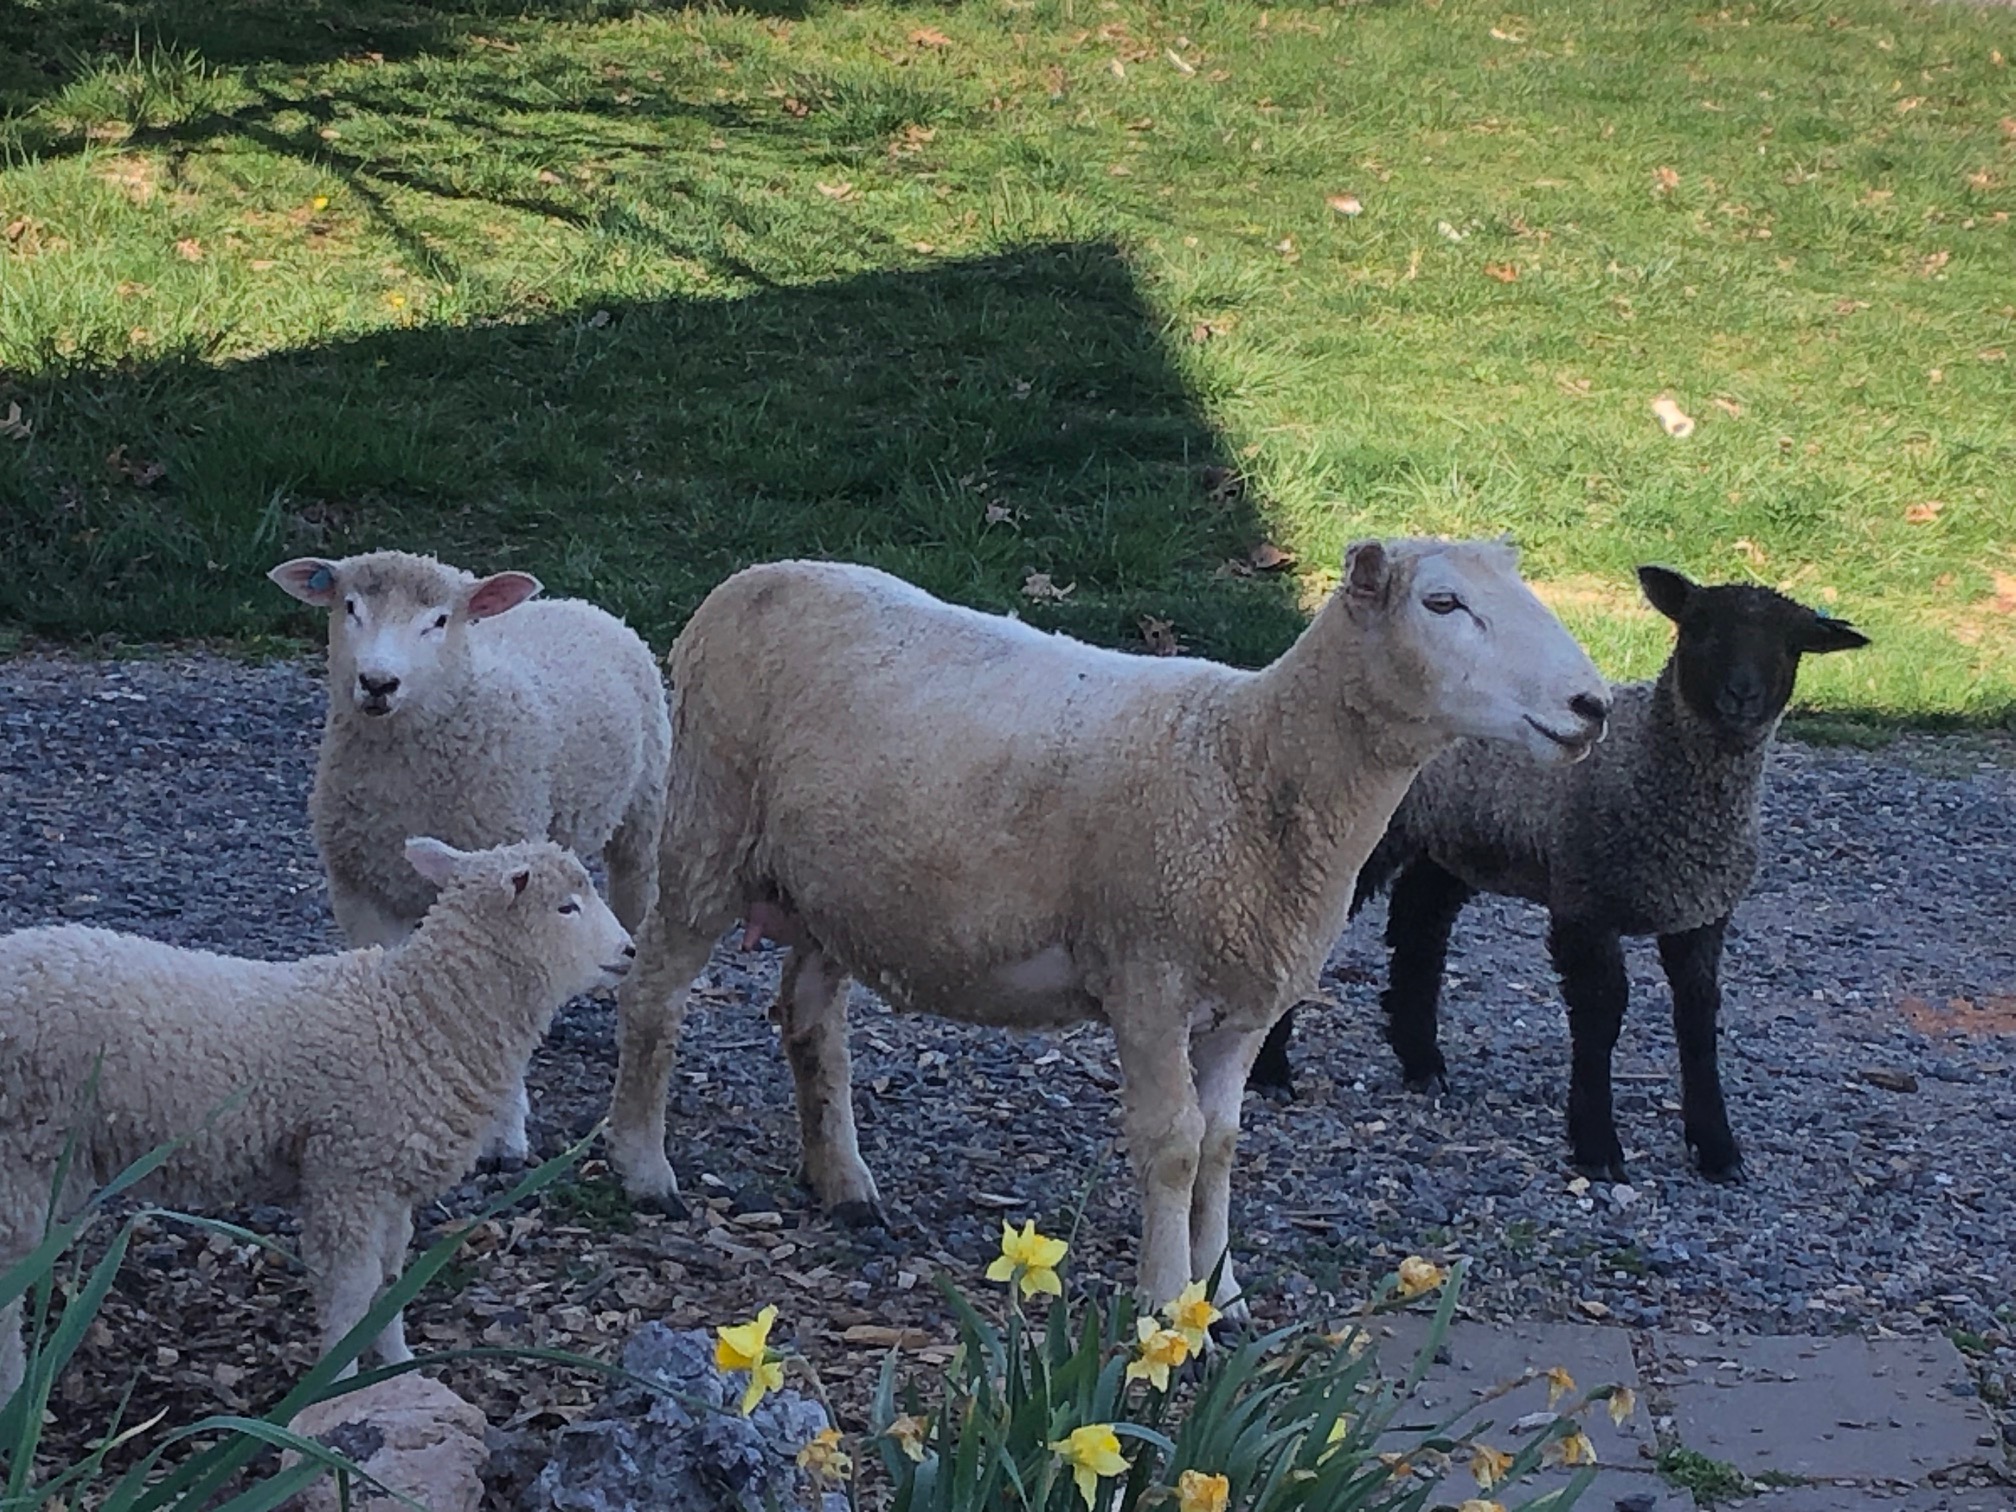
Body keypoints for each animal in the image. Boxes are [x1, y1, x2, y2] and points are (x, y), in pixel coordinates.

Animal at [0, 838, 635, 1401]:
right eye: (566, 907)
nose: (630, 950)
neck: (417, 1018)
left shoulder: (388, 1186)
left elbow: (388, 1284)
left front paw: (397, 1367)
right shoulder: (346, 1175)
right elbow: (351, 1292)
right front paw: (336, 1387)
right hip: (22, 1153)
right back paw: (14, 1393)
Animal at [269, 550, 671, 1166]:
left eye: (439, 621)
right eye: (350, 607)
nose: (378, 682)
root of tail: (581, 603)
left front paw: (505, 1136)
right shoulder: (359, 889)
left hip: (644, 807)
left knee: (635, 889)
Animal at [605, 539, 1612, 1308]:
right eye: (1443, 603)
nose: (1593, 706)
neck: (1248, 761)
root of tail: (754, 575)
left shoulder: (1245, 1003)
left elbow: (1223, 1146)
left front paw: (1224, 1295)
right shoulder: (1150, 979)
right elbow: (1172, 1147)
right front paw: (1165, 1305)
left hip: (831, 888)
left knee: (812, 1022)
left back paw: (844, 1184)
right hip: (709, 824)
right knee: (655, 995)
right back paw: (643, 1171)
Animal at [1248, 567, 1869, 1184]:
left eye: (1791, 646)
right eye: (1698, 627)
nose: (1742, 694)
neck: (1648, 763)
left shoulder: (1700, 917)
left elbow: (1698, 1019)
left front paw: (1717, 1146)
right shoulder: (1584, 903)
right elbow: (1601, 1014)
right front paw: (1597, 1143)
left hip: (1458, 837)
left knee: (1421, 925)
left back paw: (1421, 1059)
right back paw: (1272, 1070)